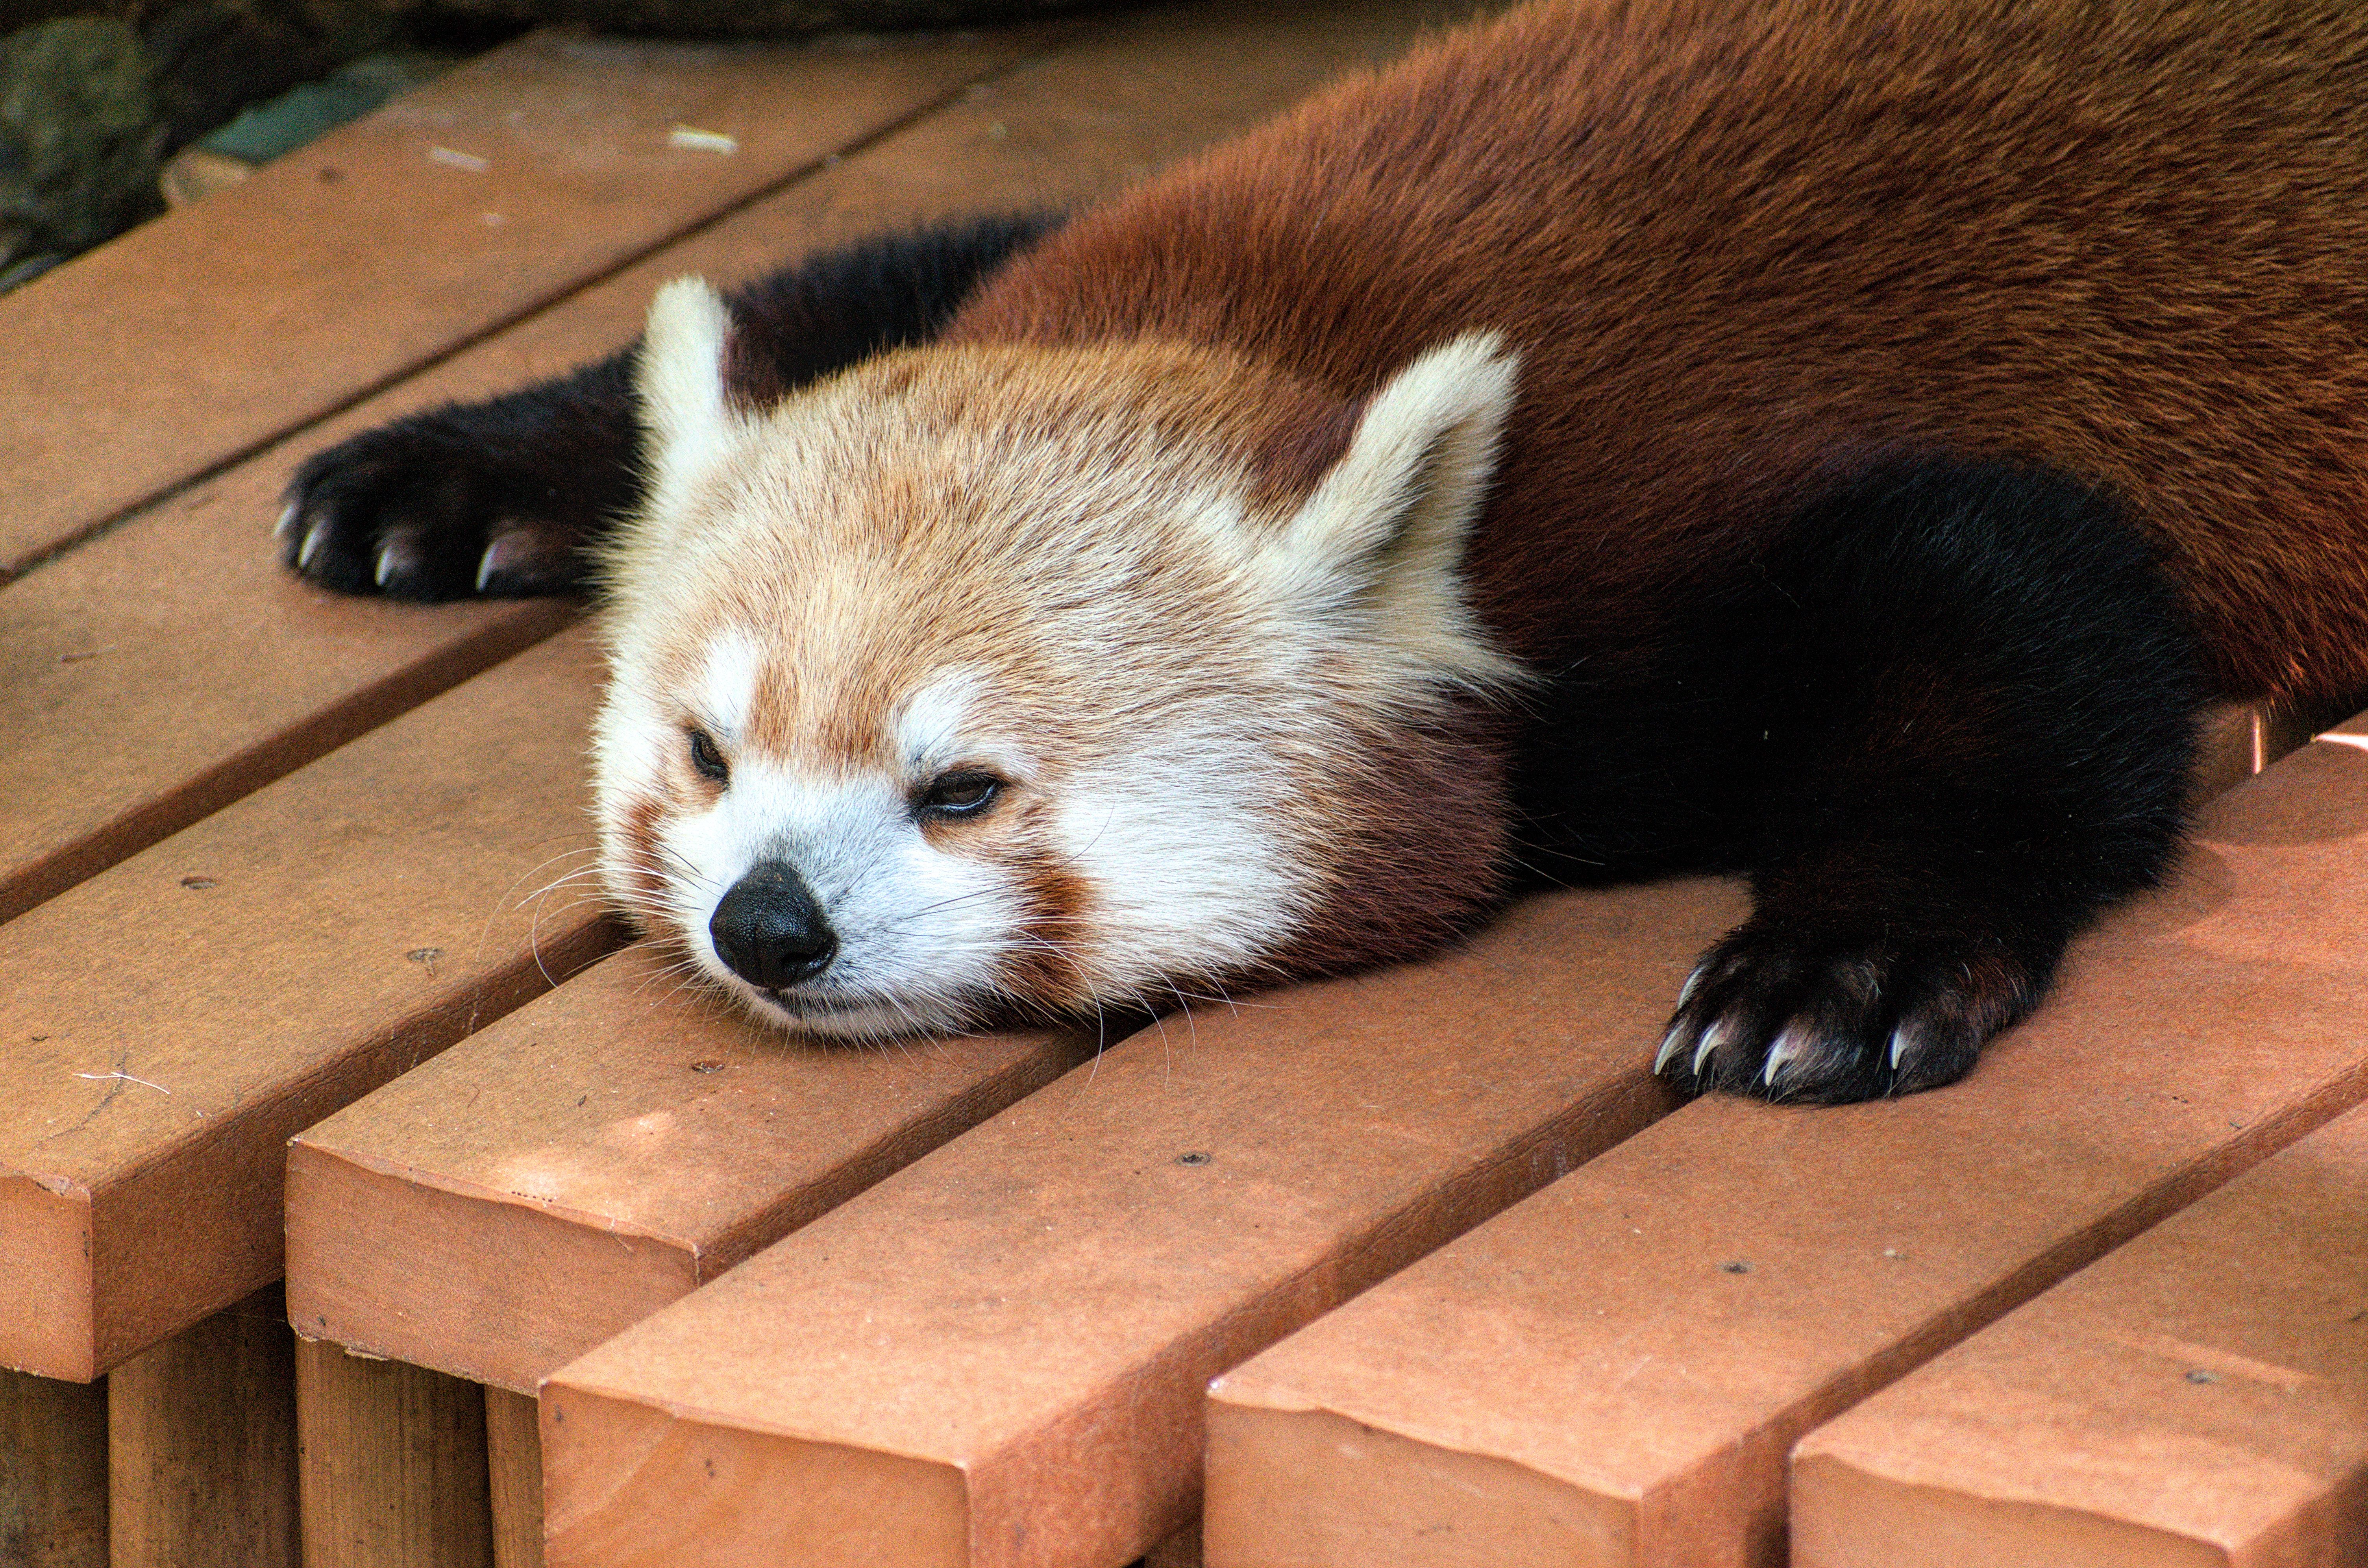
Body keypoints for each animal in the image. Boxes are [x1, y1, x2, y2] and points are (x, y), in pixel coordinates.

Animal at [280, 0, 2368, 1103]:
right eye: (707, 755)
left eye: (961, 790)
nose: (765, 923)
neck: (1269, 341)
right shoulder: (1038, 272)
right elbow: (888, 260)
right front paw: (458, 466)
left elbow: (2028, 619)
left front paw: (1839, 959)